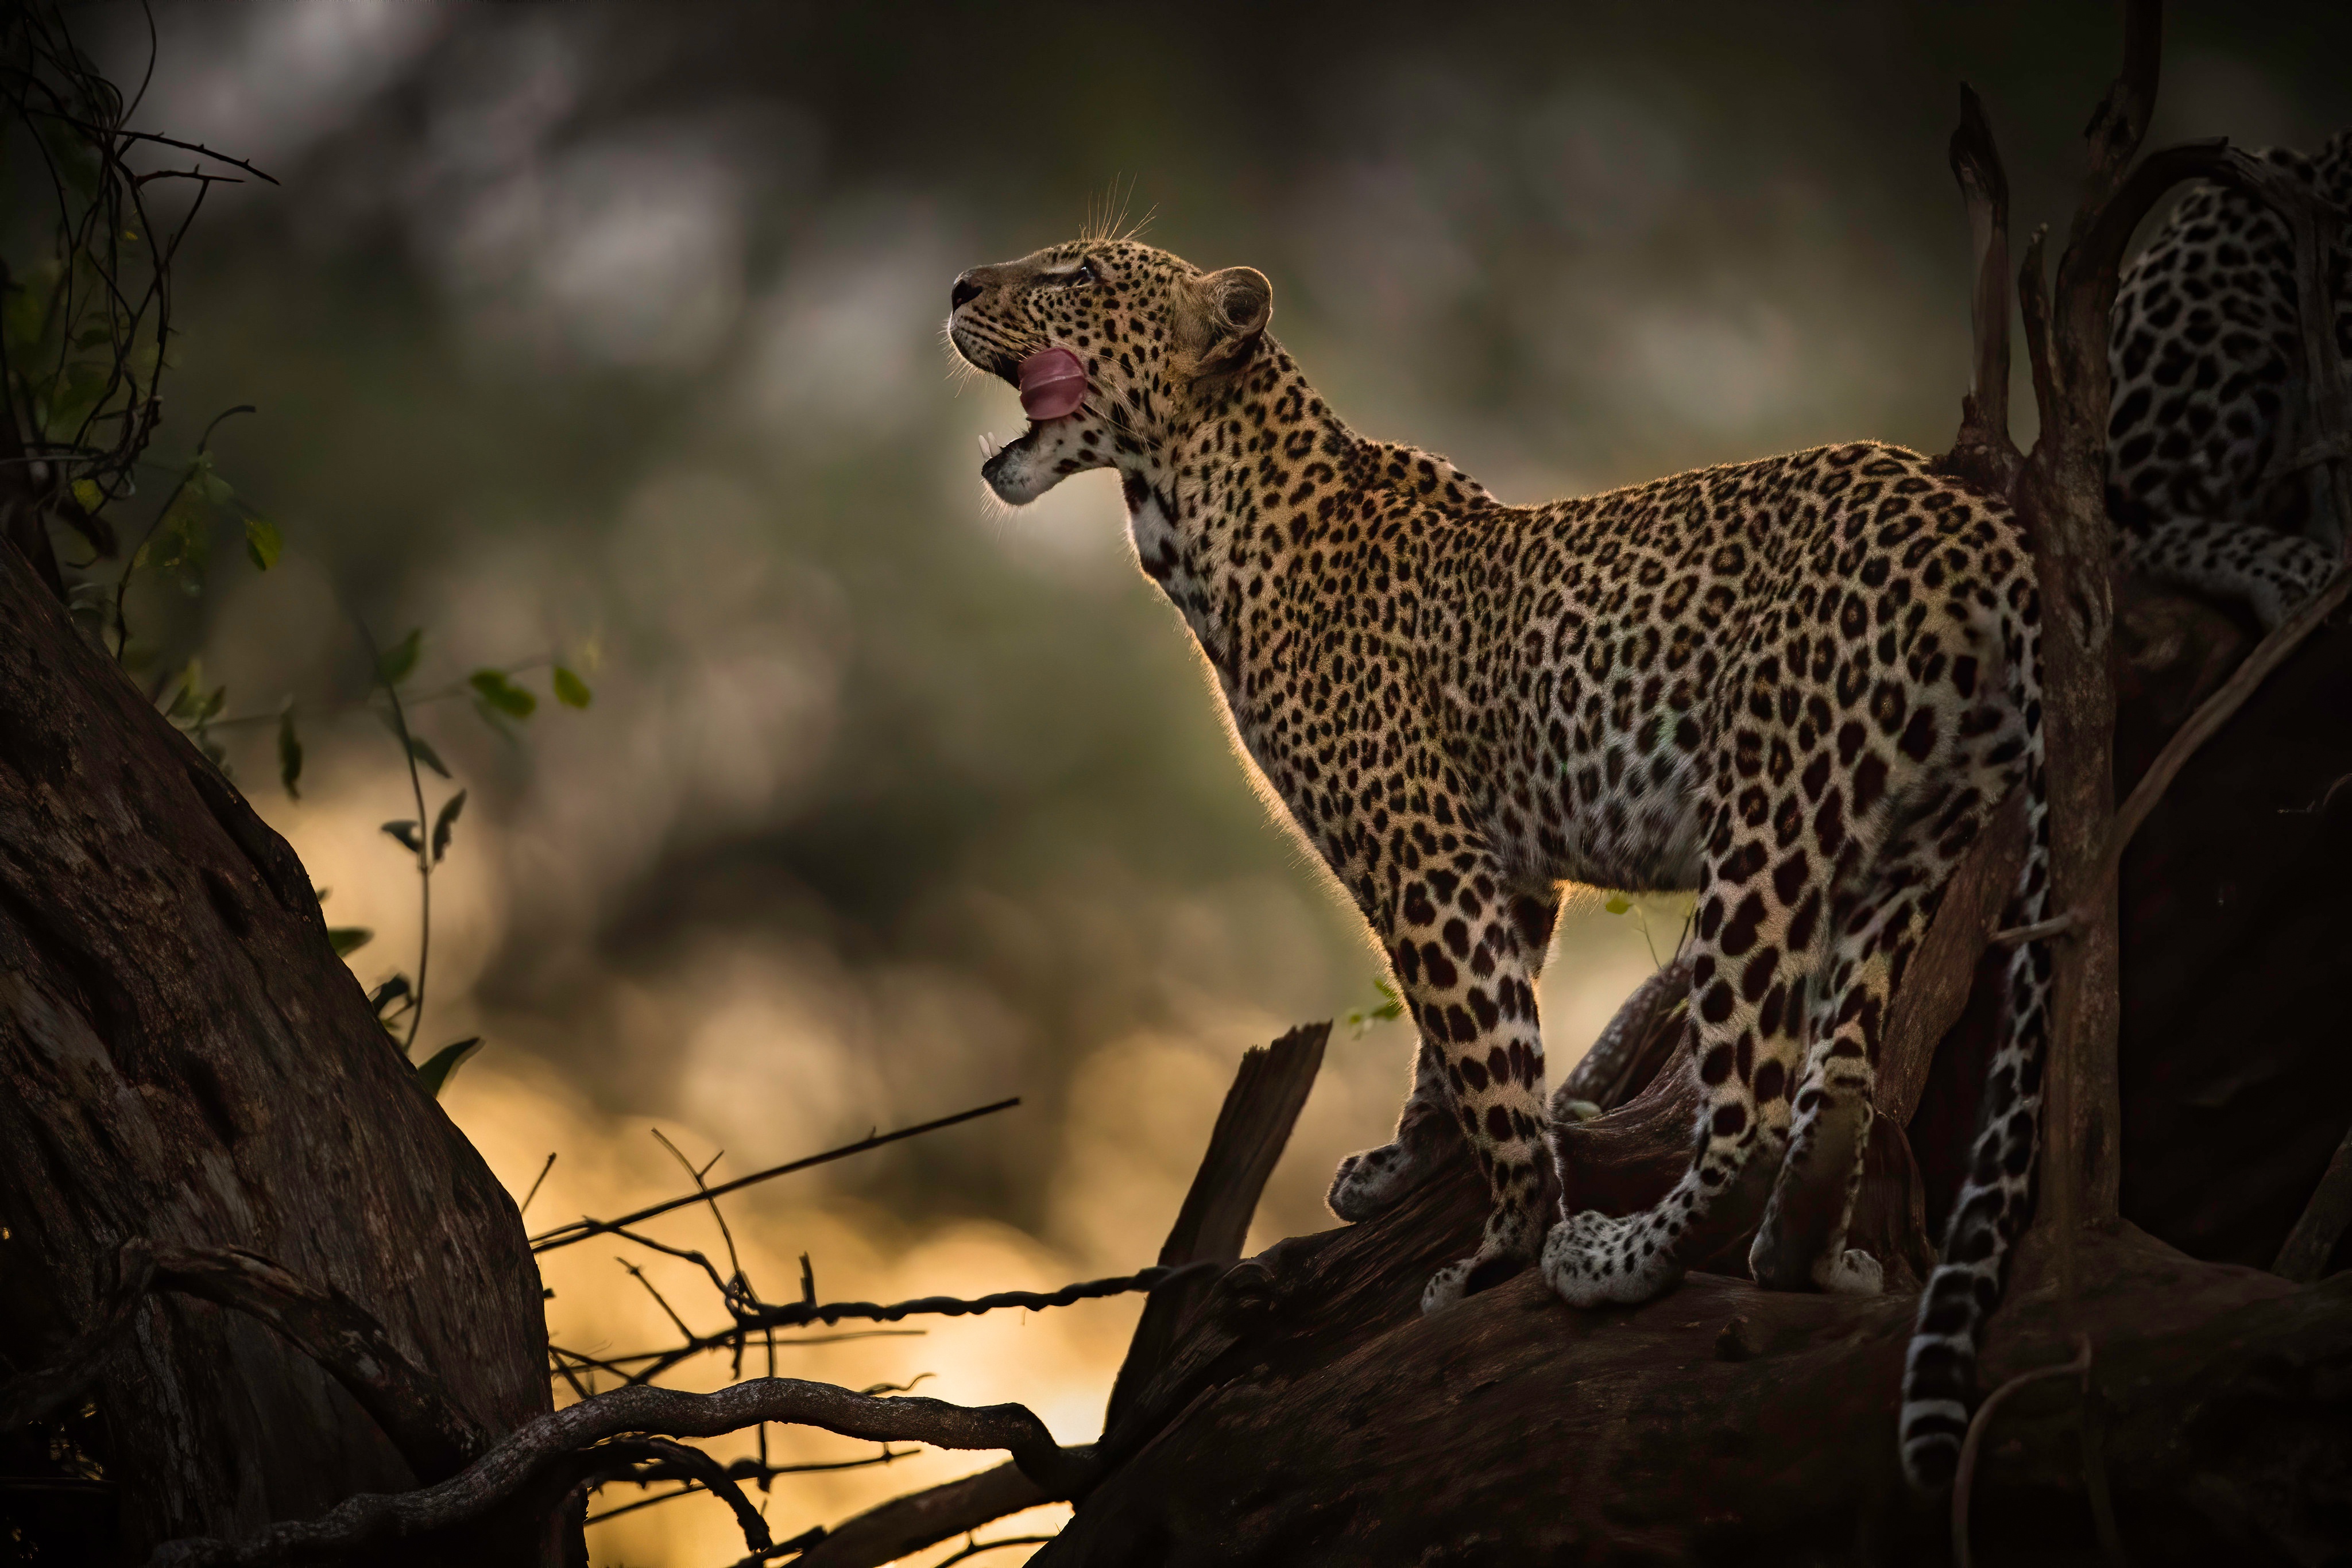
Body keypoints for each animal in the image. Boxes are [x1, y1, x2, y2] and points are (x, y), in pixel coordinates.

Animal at [947, 237, 2056, 1491]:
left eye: (1074, 275)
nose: (958, 290)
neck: (1196, 519)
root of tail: (1979, 531)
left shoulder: (1421, 858)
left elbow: (1493, 1067)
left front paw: (1499, 1252)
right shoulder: (1504, 873)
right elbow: (1469, 1048)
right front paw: (1401, 1166)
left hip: (1767, 826)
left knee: (1749, 1107)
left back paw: (1621, 1256)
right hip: (1911, 844)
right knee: (1844, 1079)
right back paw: (1799, 1253)